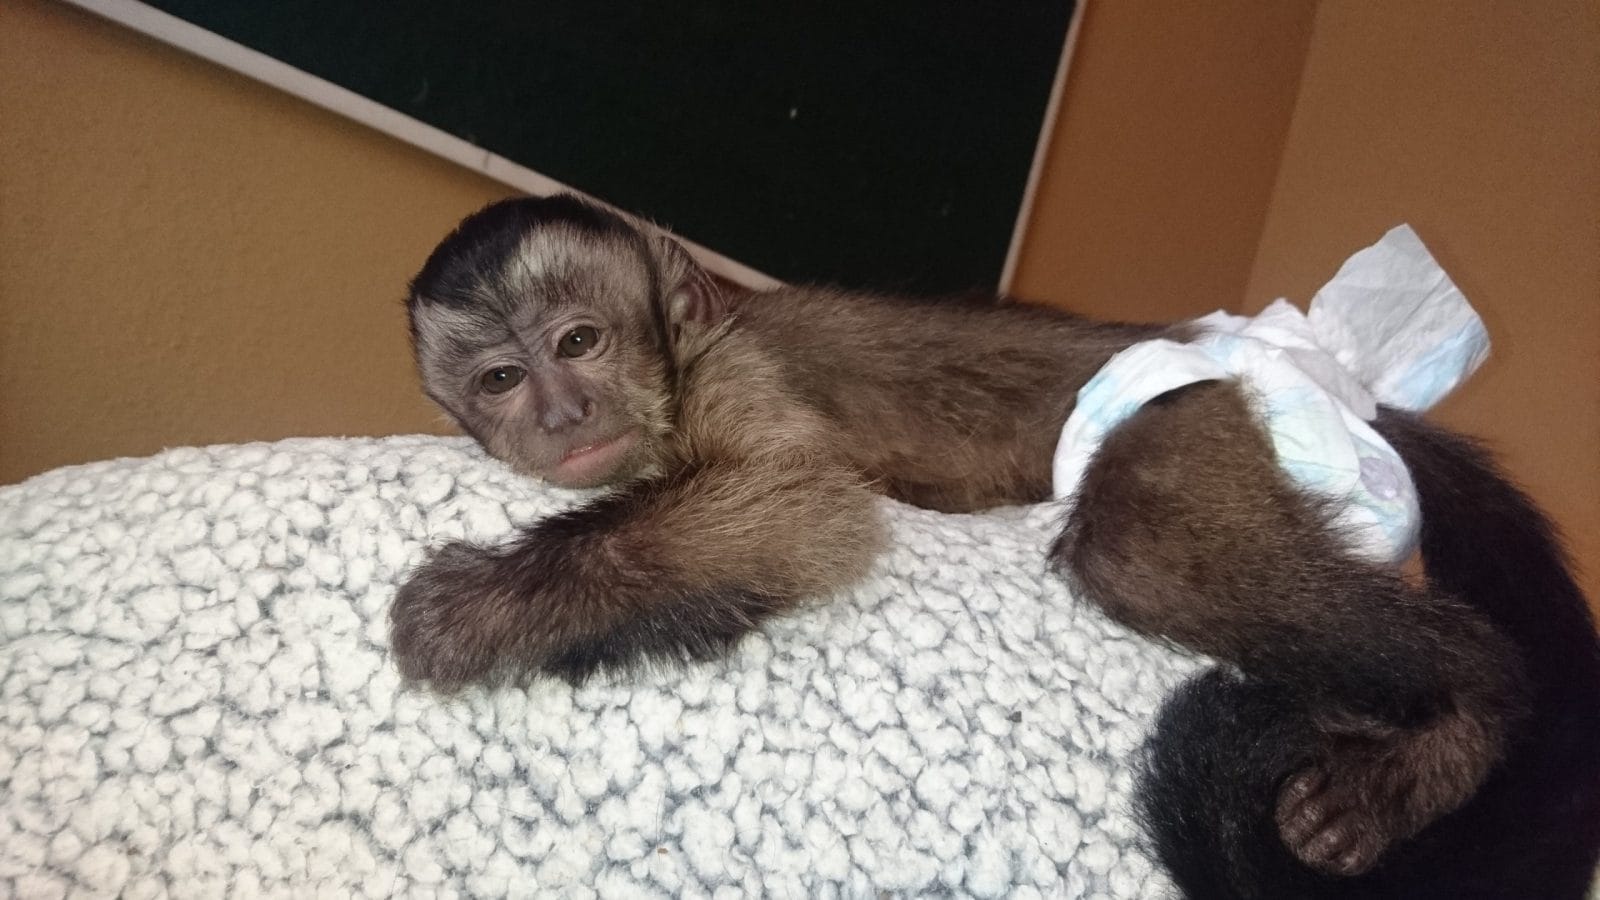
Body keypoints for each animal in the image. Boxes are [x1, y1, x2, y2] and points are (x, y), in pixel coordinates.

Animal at [391, 194, 1600, 898]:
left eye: (578, 343)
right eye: (500, 378)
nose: (560, 413)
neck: (682, 360)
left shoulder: (738, 370)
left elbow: (802, 508)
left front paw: (488, 606)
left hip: (1201, 410)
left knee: (1141, 551)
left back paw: (1473, 705)